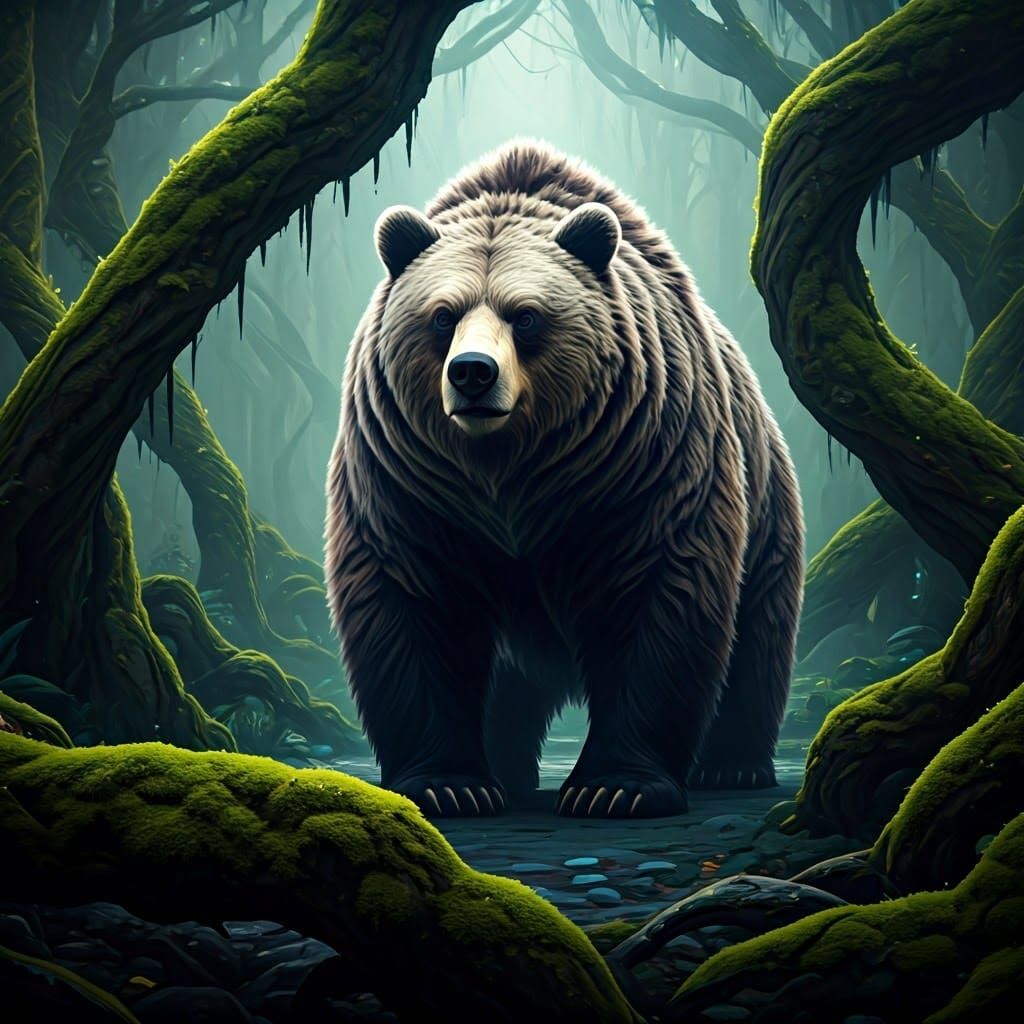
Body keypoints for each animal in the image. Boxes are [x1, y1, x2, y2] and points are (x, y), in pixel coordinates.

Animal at [325, 140, 804, 818]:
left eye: (524, 317)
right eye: (442, 316)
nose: (473, 372)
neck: (512, 472)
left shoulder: (646, 469)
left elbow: (660, 595)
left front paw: (614, 787)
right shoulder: (410, 485)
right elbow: (410, 603)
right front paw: (448, 784)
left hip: (766, 503)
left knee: (757, 635)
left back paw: (734, 764)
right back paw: (506, 770)